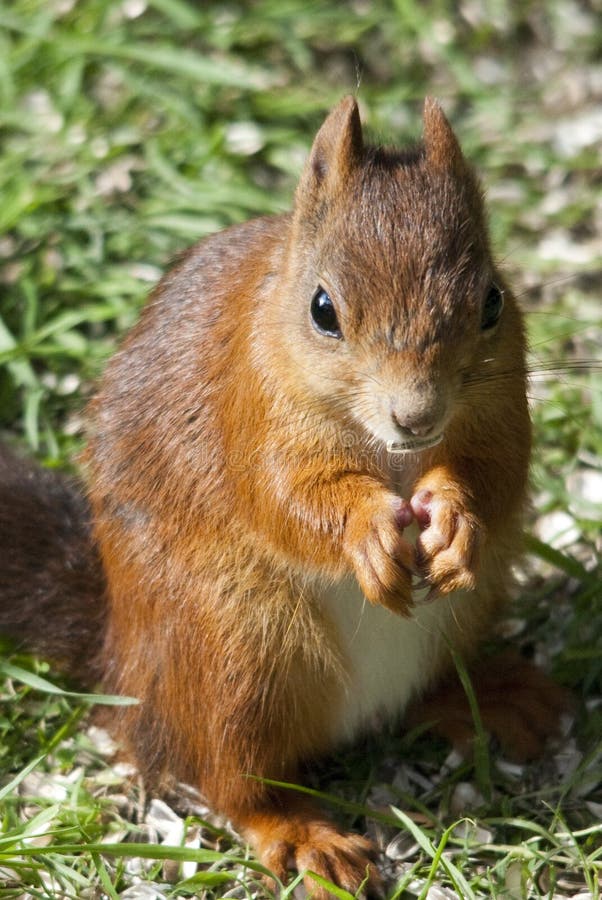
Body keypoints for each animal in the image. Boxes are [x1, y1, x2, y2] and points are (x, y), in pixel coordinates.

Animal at [0, 97, 569, 897]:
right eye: (323, 309)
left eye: (491, 301)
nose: (417, 416)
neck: (393, 459)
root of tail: (125, 668)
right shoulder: (250, 403)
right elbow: (284, 497)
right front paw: (365, 529)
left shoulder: (502, 402)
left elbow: (498, 468)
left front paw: (455, 514)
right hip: (237, 655)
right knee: (230, 779)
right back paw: (303, 836)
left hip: (463, 611)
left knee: (416, 697)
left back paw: (488, 695)